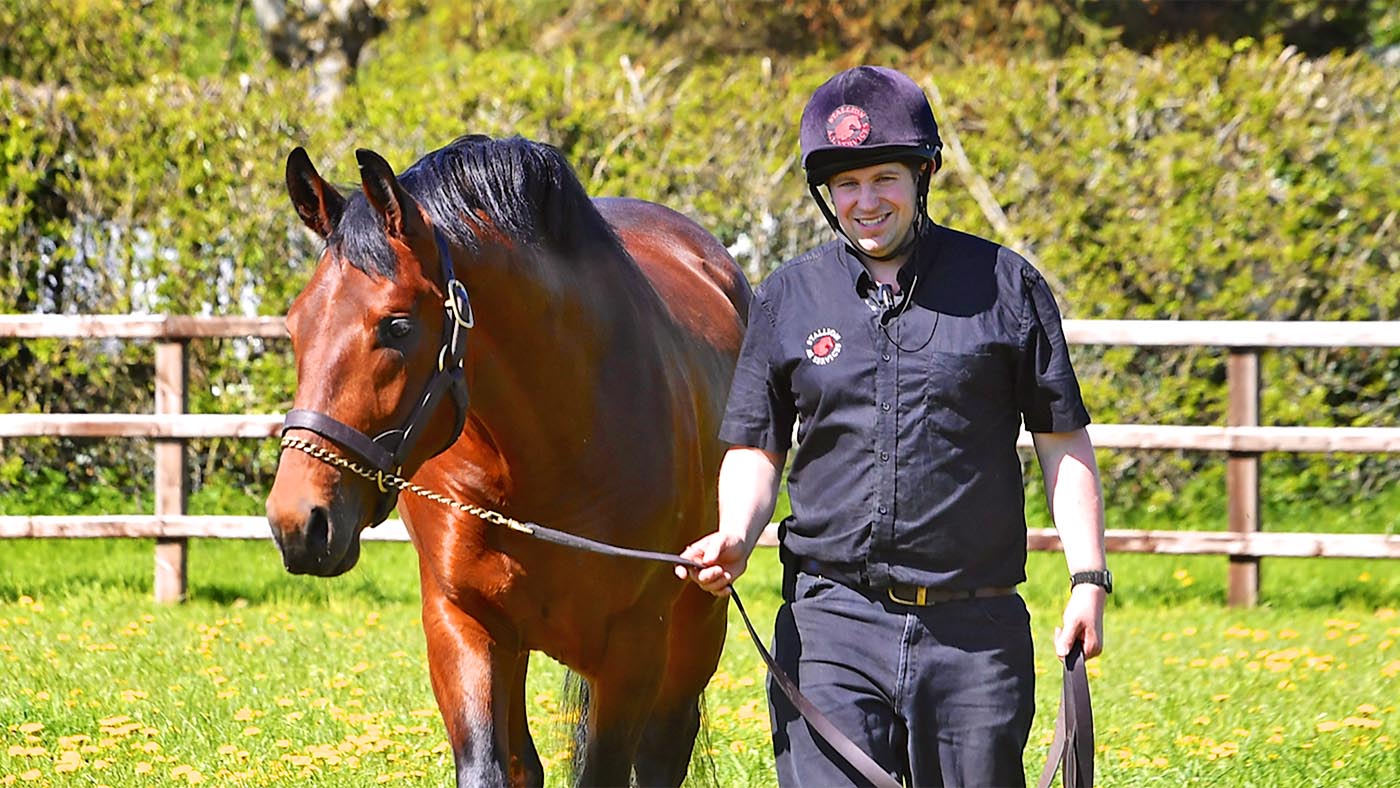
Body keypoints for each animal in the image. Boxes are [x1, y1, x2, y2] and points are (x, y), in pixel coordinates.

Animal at [263, 134, 751, 787]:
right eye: (295, 324)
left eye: (397, 325)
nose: (298, 521)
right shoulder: (462, 623)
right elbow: (492, 766)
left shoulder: (633, 649)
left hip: (699, 620)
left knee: (663, 750)